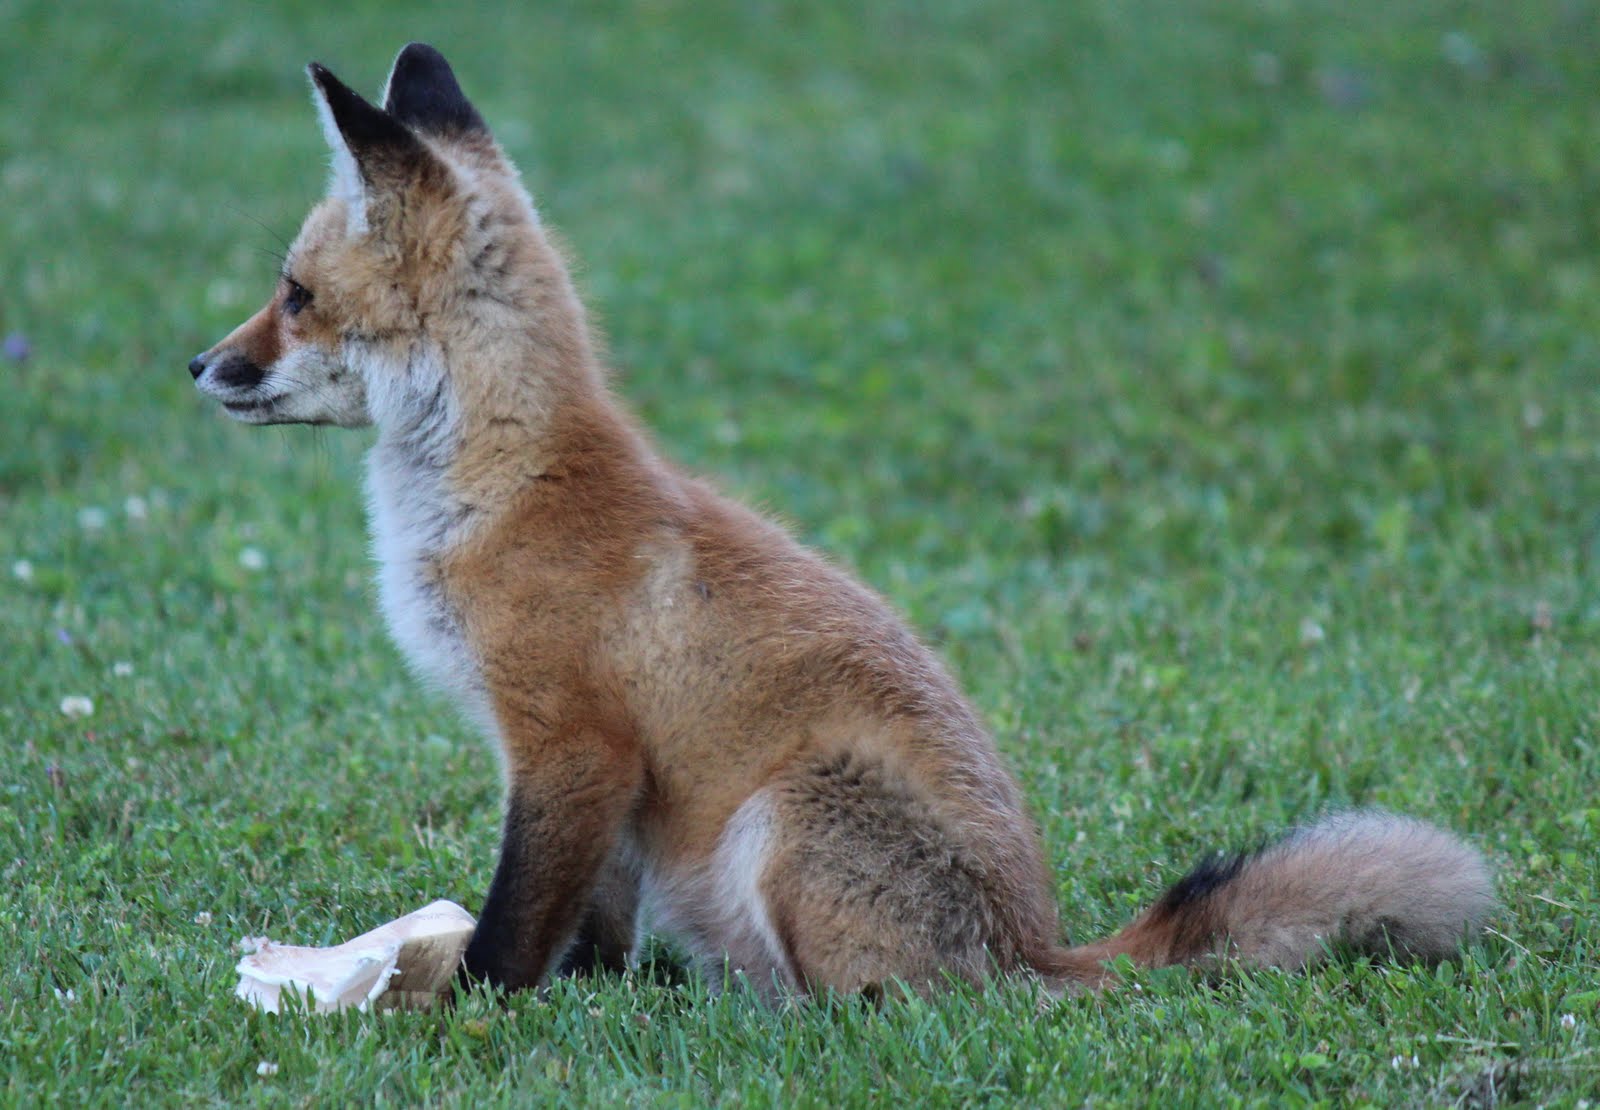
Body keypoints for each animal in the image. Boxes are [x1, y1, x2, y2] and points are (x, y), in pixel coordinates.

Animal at [189, 43, 1494, 999]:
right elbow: (590, 929)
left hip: (788, 813)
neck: (505, 488)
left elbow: (515, 926)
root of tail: (1039, 947)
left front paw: (460, 1008)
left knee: (880, 1009)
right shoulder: (600, 783)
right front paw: (590, 995)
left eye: (294, 297)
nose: (197, 364)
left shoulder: (569, 746)